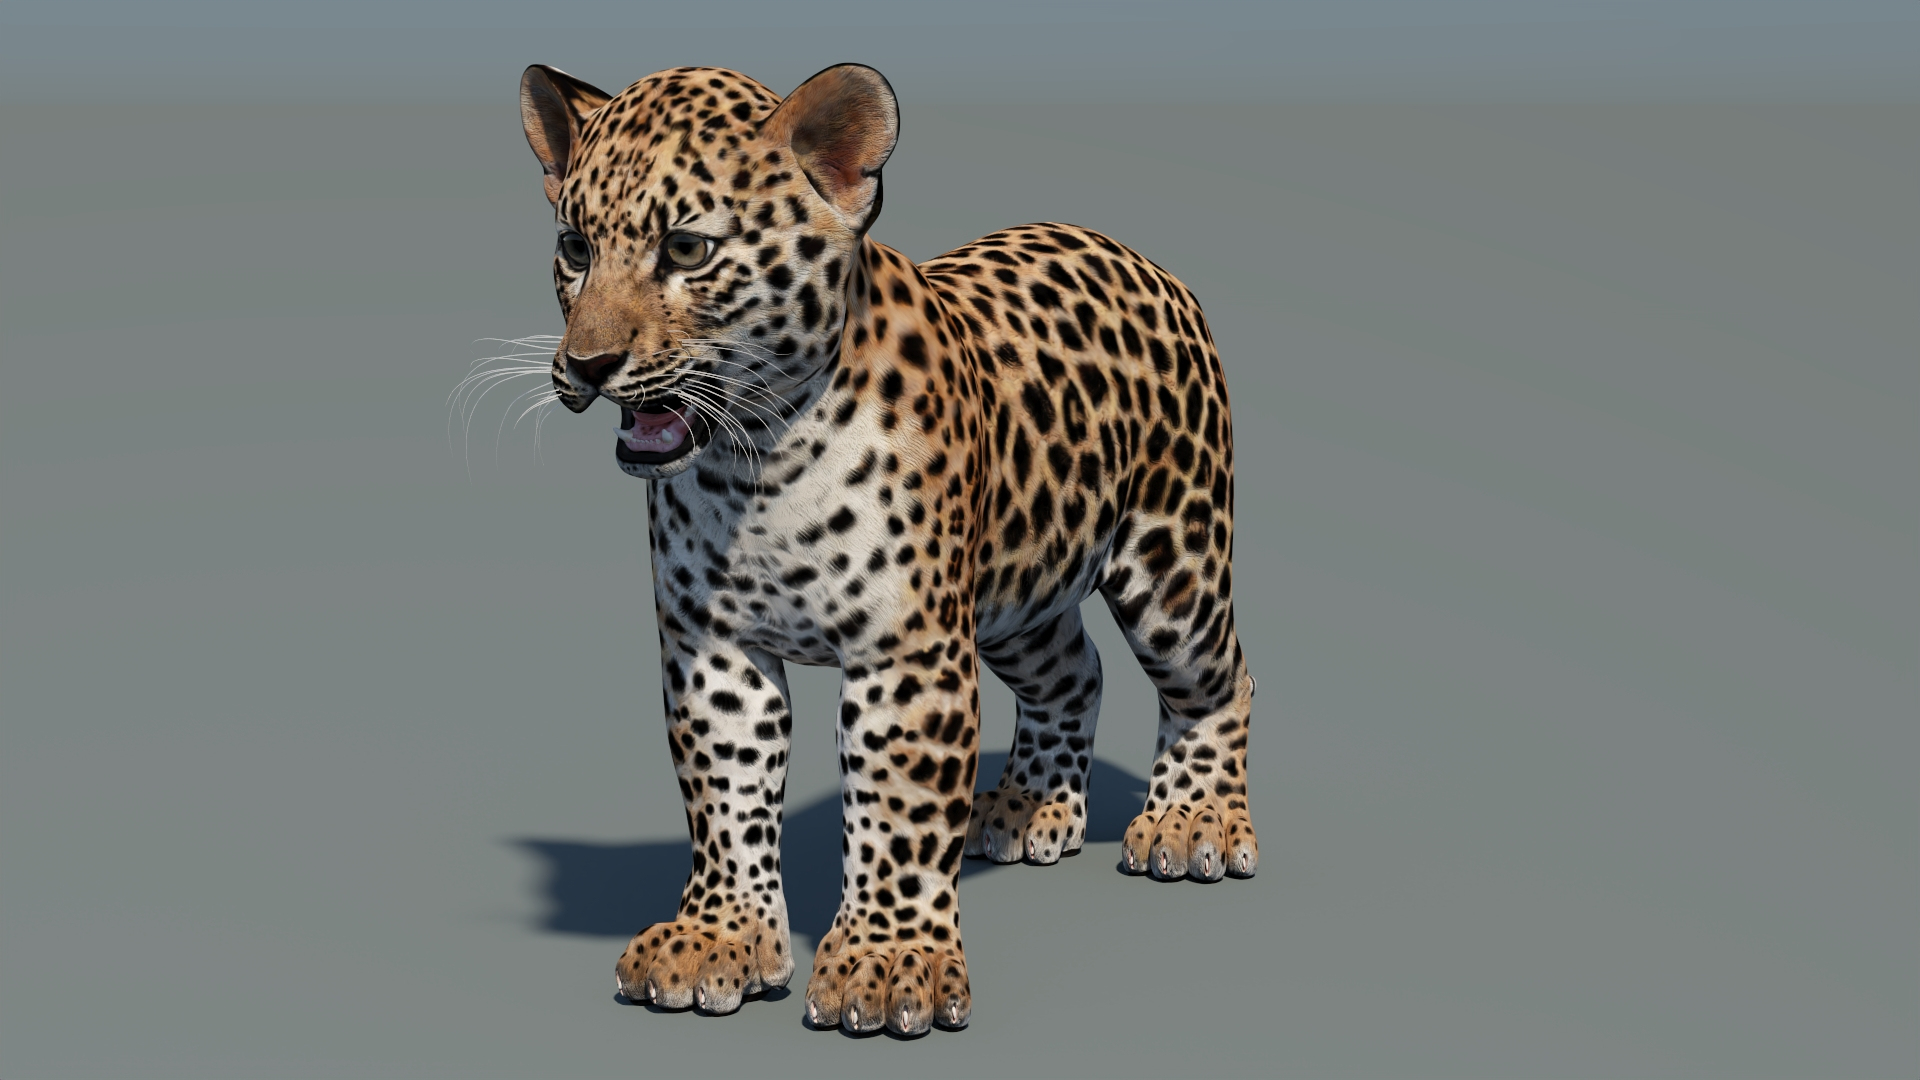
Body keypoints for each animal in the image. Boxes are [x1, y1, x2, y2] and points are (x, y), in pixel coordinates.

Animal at [516, 61, 1259, 1037]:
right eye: (574, 246)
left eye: (686, 250)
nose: (588, 365)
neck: (757, 465)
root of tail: (1139, 255)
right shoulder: (715, 646)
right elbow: (725, 790)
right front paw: (720, 936)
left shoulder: (906, 650)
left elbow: (897, 804)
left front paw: (889, 959)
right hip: (1020, 589)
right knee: (1077, 673)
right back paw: (1031, 807)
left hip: (1172, 561)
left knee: (1219, 678)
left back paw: (1194, 819)